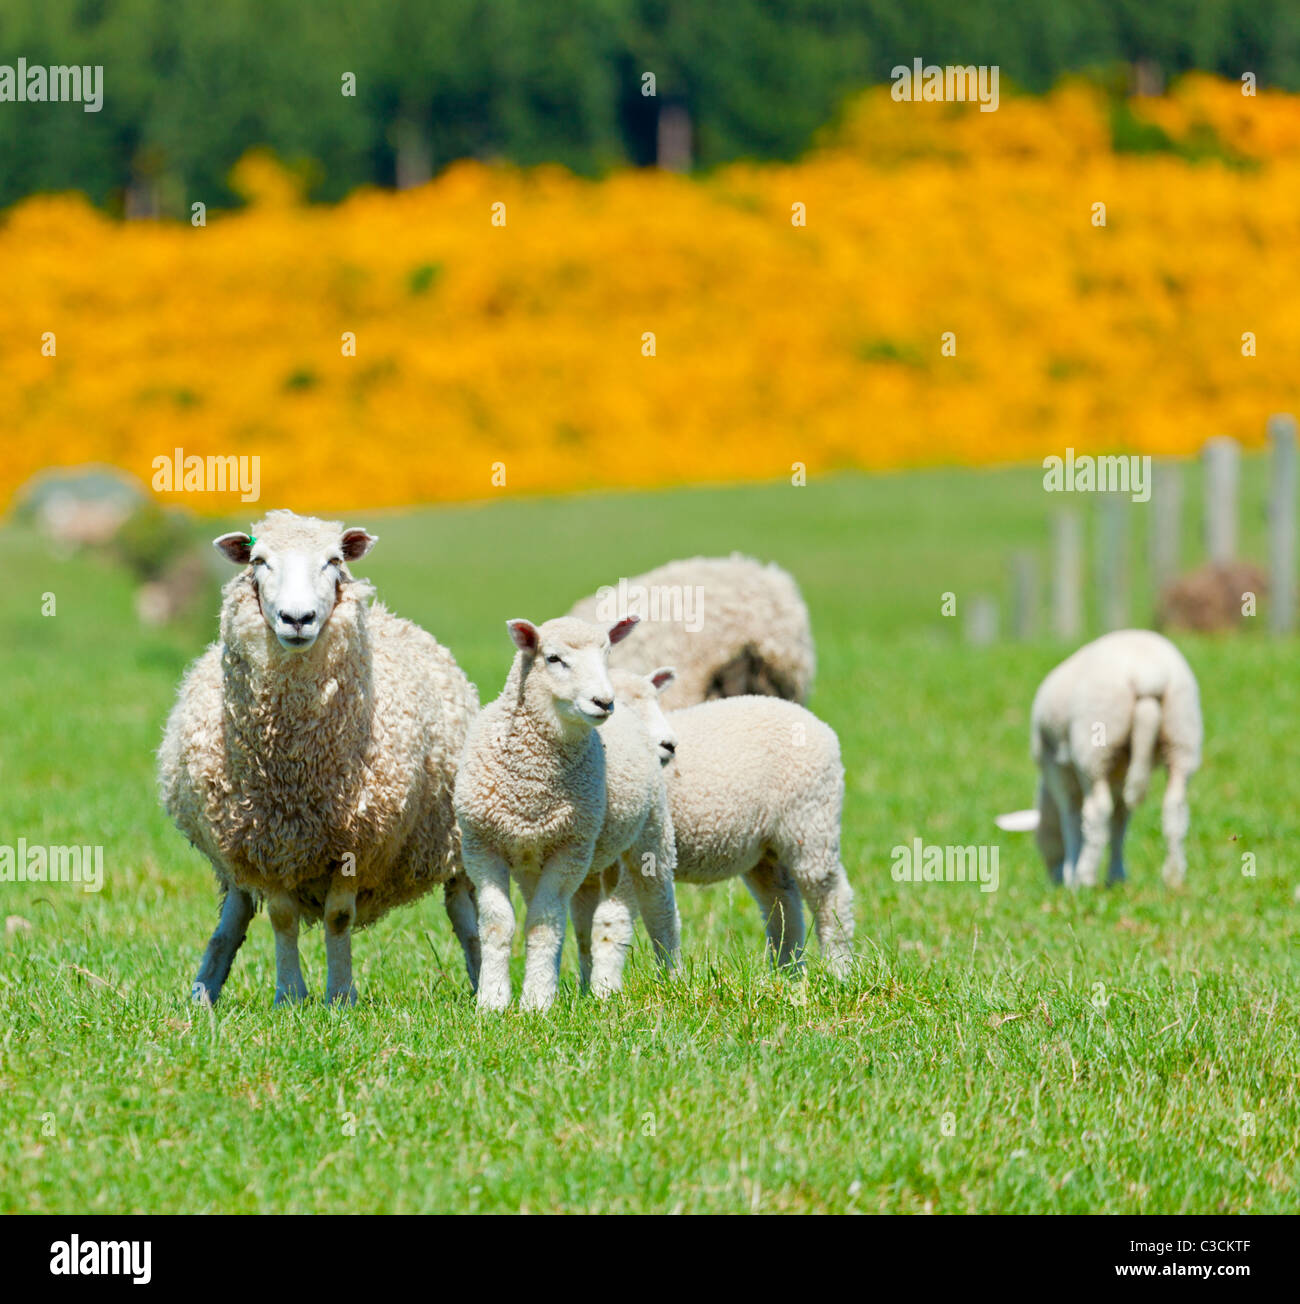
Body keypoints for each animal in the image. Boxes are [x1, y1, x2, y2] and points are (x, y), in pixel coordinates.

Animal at [158, 509, 481, 1006]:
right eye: (259, 561)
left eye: (333, 561)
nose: (297, 618)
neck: (295, 766)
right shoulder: (266, 845)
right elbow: (282, 919)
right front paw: (290, 995)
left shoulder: (355, 842)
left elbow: (338, 919)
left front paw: (340, 995)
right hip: (233, 854)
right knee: (233, 918)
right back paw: (203, 993)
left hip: (453, 839)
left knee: (466, 917)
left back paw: (486, 985)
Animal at [454, 614, 680, 1013]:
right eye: (554, 658)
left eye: (607, 654)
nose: (603, 701)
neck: (531, 785)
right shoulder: (481, 846)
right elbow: (498, 924)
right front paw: (493, 1001)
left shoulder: (569, 850)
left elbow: (544, 925)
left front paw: (536, 1002)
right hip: (558, 863)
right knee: (584, 924)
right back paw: (589, 986)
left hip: (647, 837)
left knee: (659, 912)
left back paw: (671, 979)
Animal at [610, 675, 855, 978]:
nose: (668, 745)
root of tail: (818, 724)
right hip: (765, 849)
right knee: (783, 902)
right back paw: (786, 970)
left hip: (811, 823)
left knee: (832, 898)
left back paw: (839, 968)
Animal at [1021, 629, 1203, 888]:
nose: (1054, 879)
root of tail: (1148, 673)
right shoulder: (1119, 775)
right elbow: (1119, 821)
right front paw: (1117, 876)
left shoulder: (1057, 769)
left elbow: (1072, 818)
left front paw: (1072, 873)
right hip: (1182, 733)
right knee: (1175, 806)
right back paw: (1174, 876)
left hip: (1095, 746)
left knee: (1096, 811)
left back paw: (1085, 876)